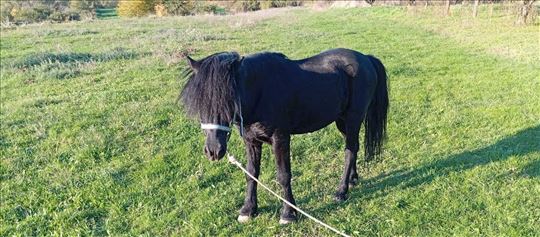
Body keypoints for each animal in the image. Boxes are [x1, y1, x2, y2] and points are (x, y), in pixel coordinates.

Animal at [181, 48, 388, 224]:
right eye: (200, 102)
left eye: (228, 99)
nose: (213, 151)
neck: (260, 92)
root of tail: (365, 58)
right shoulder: (251, 141)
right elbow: (251, 173)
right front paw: (248, 210)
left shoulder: (280, 139)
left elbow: (283, 175)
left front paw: (288, 214)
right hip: (342, 121)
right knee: (354, 148)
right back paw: (353, 179)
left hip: (353, 119)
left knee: (349, 151)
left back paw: (341, 191)